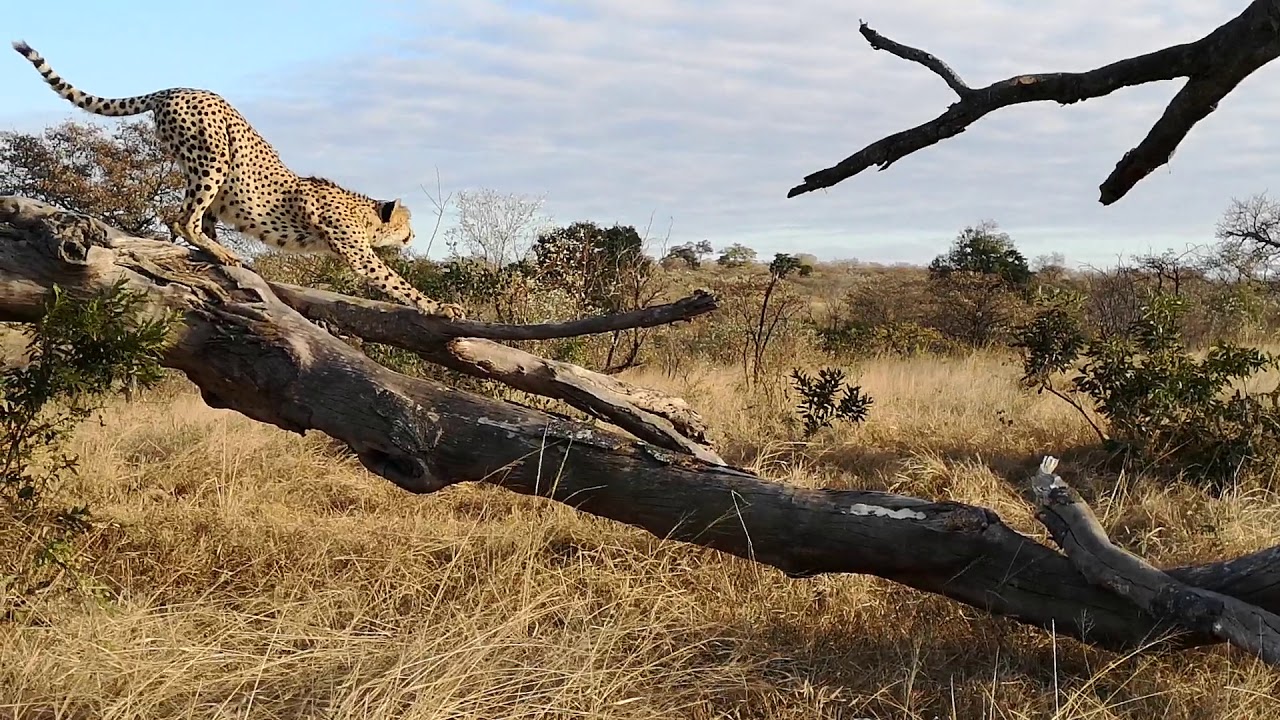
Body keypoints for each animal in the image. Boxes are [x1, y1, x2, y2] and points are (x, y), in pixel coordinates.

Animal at [11, 40, 465, 320]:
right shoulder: (356, 252)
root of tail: (176, 88)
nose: (412, 235)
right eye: (407, 223)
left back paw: (221, 253)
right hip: (213, 157)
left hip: (211, 171)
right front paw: (440, 307)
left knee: (194, 217)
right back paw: (223, 253)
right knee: (181, 218)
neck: (364, 213)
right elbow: (394, 281)